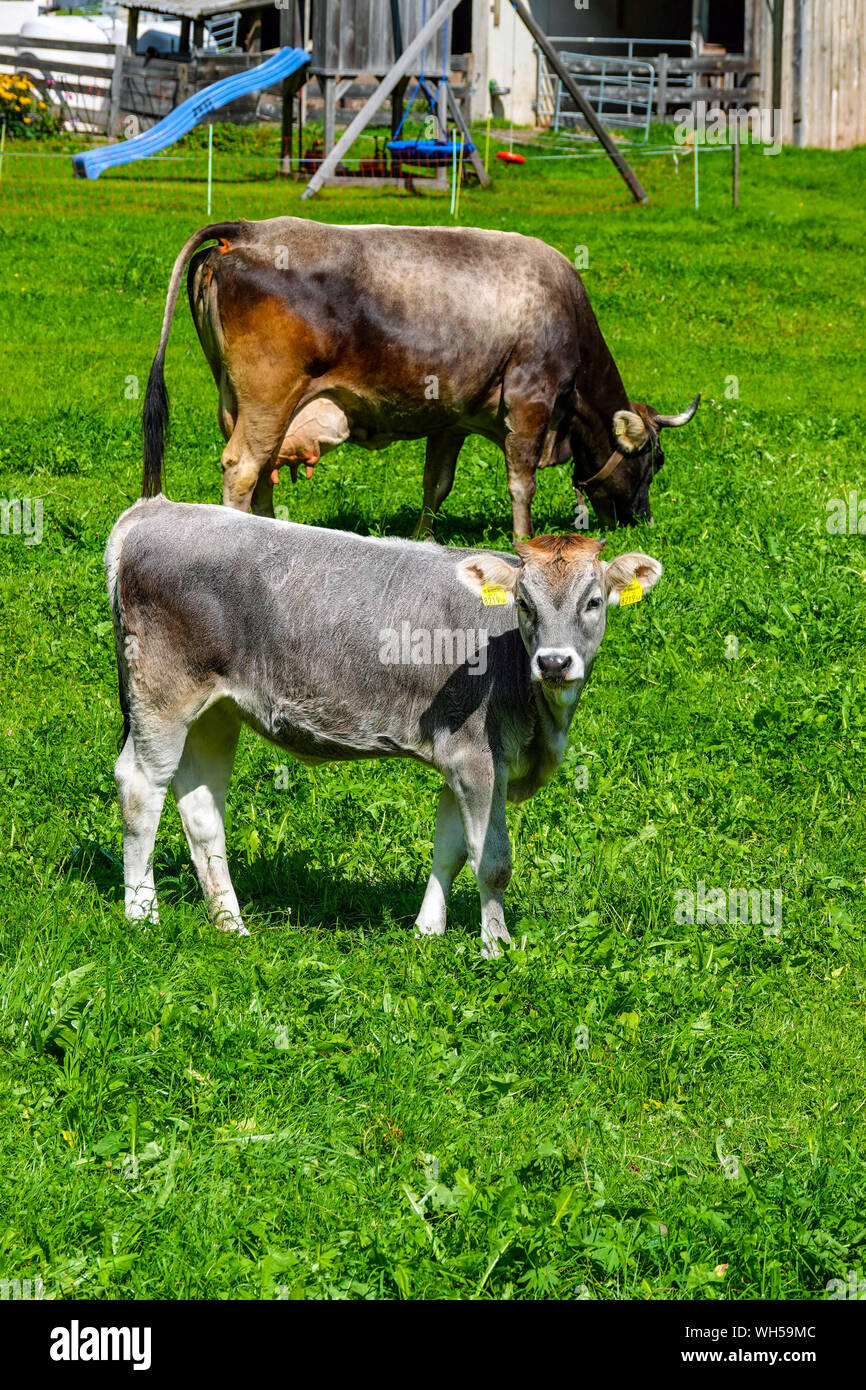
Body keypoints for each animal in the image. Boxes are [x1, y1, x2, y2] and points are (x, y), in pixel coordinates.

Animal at [106, 498, 662, 957]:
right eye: (524, 603)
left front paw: (427, 932)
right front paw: (496, 948)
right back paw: (142, 915)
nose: (554, 662)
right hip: (162, 693)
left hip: (214, 713)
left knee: (201, 807)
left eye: (593, 602)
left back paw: (230, 923)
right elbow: (492, 859)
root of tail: (155, 509)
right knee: (141, 787)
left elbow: (450, 849)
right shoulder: (477, 758)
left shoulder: (458, 761)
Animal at [141, 218, 699, 540]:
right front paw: (523, 543)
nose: (644, 522)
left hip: (242, 402)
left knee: (261, 474)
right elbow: (522, 483)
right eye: (657, 460)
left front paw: (423, 540)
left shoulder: (451, 419)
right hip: (268, 399)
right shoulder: (530, 400)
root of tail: (247, 230)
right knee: (241, 469)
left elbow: (437, 484)